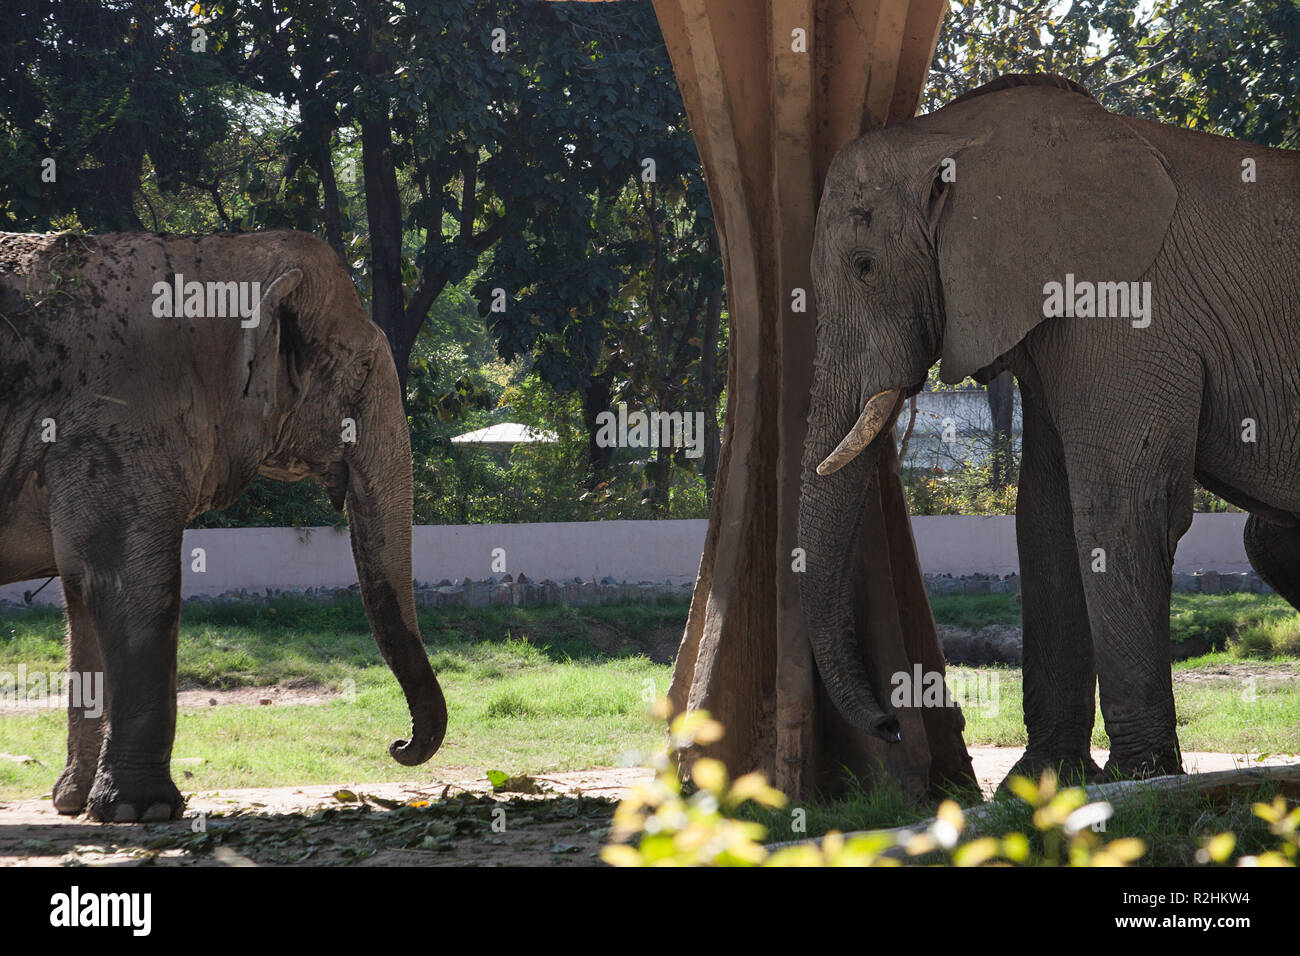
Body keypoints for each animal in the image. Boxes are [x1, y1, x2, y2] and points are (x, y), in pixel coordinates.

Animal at [0, 230, 447, 821]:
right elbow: (129, 582)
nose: (397, 745)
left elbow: (82, 591)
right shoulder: (118, 425)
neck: (217, 256)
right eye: (363, 370)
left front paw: (74, 804)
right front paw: (143, 811)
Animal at [798, 73, 1300, 785]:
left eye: (865, 265)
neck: (956, 133)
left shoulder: (1130, 314)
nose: (891, 726)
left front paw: (1139, 777)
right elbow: (1045, 521)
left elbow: (1117, 510)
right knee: (1268, 537)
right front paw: (1042, 783)